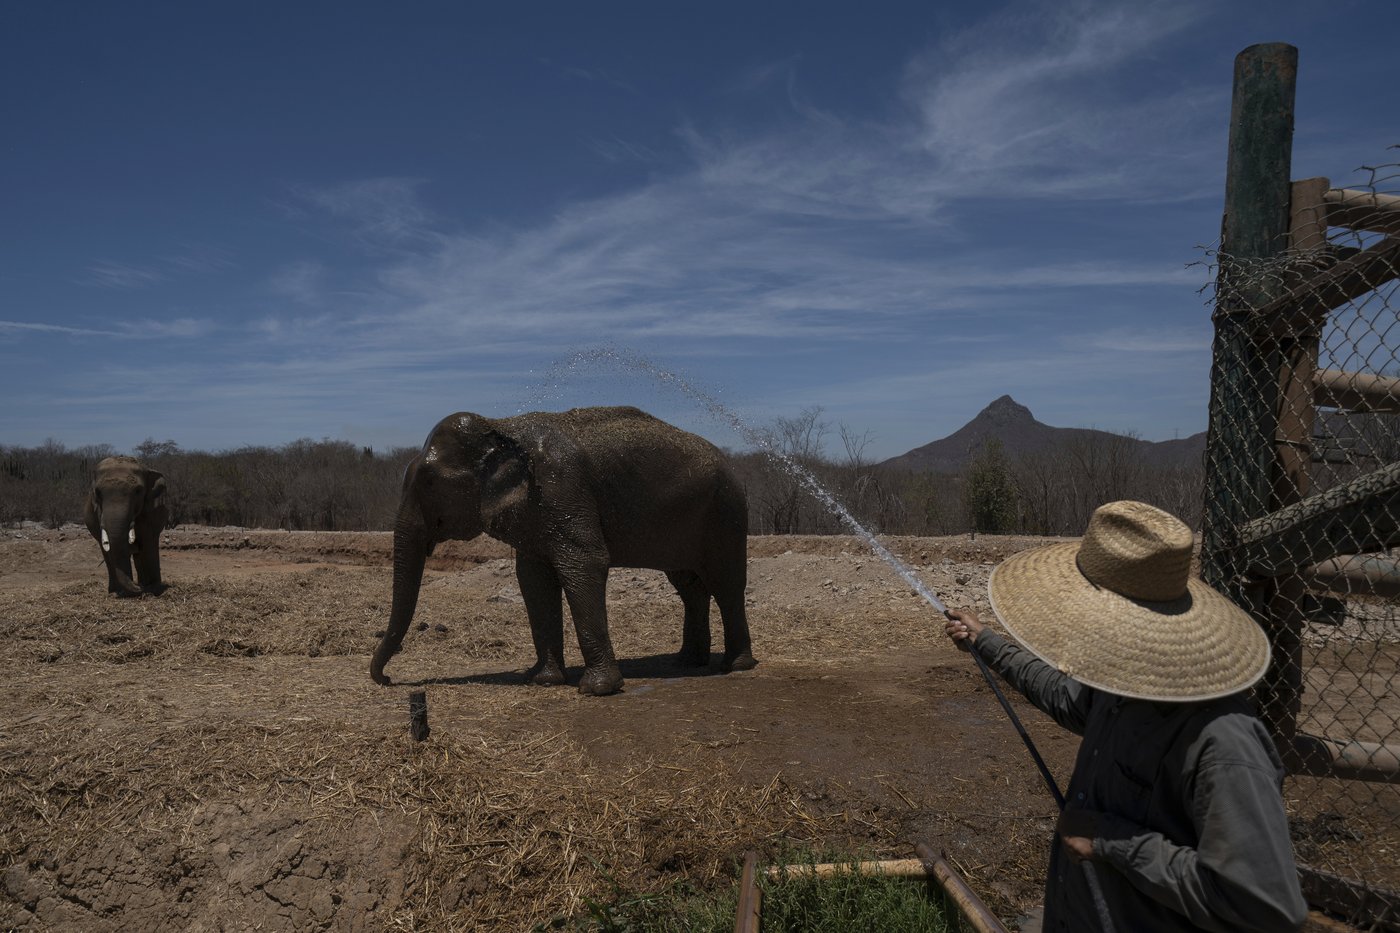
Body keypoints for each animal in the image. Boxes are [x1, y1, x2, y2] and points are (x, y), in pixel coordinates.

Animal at [84, 456, 168, 597]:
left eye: (138, 491)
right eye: (98, 492)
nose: (139, 588)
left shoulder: (150, 510)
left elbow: (148, 541)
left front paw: (153, 590)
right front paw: (125, 592)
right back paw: (116, 590)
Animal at [370, 406, 757, 695]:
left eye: (429, 483)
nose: (387, 678)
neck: (502, 426)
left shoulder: (564, 485)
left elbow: (584, 563)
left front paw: (597, 689)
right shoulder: (534, 509)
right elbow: (533, 579)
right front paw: (542, 680)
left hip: (726, 515)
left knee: (725, 584)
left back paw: (735, 666)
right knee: (688, 586)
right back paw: (687, 661)